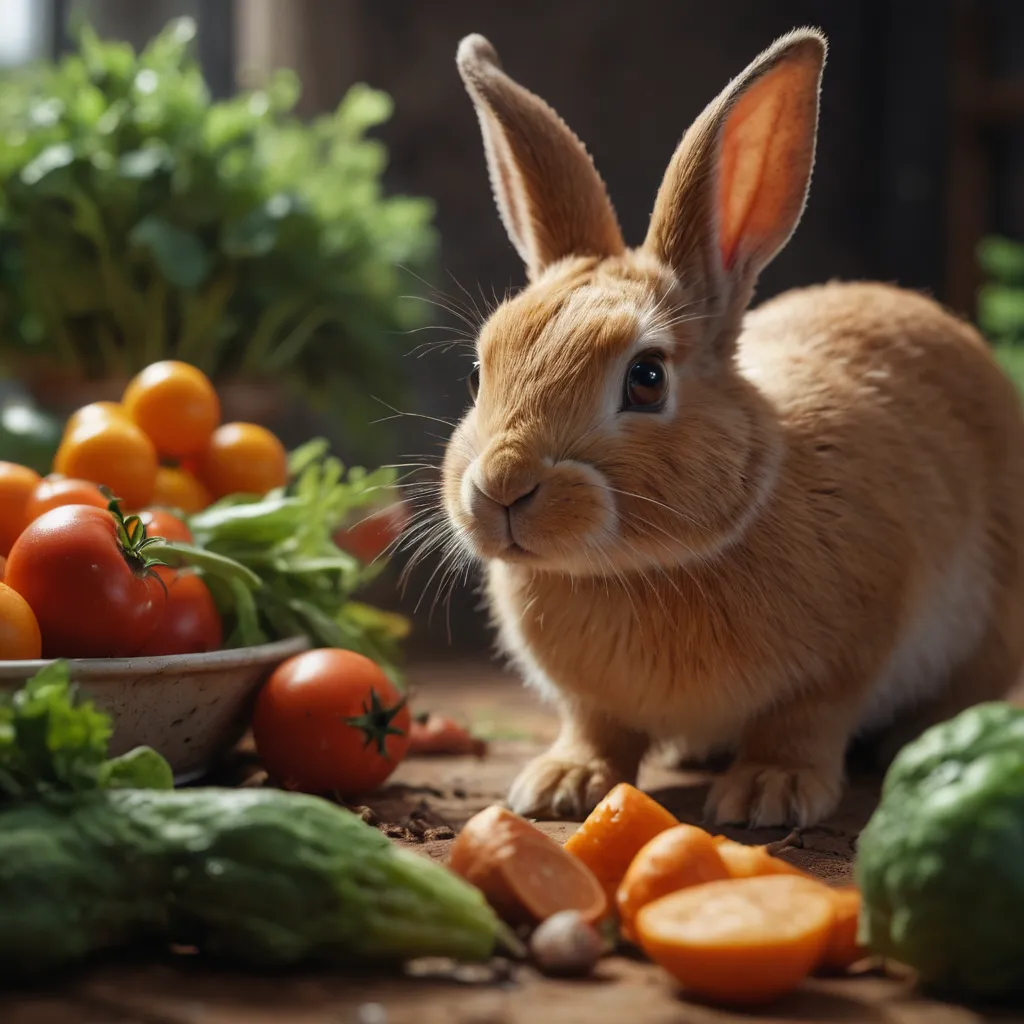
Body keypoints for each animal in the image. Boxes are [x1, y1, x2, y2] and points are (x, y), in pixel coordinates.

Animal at [438, 27, 1024, 828]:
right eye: (478, 373)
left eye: (647, 379)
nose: (501, 487)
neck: (641, 568)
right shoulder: (591, 704)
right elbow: (597, 728)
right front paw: (563, 783)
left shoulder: (842, 664)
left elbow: (802, 723)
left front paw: (767, 792)